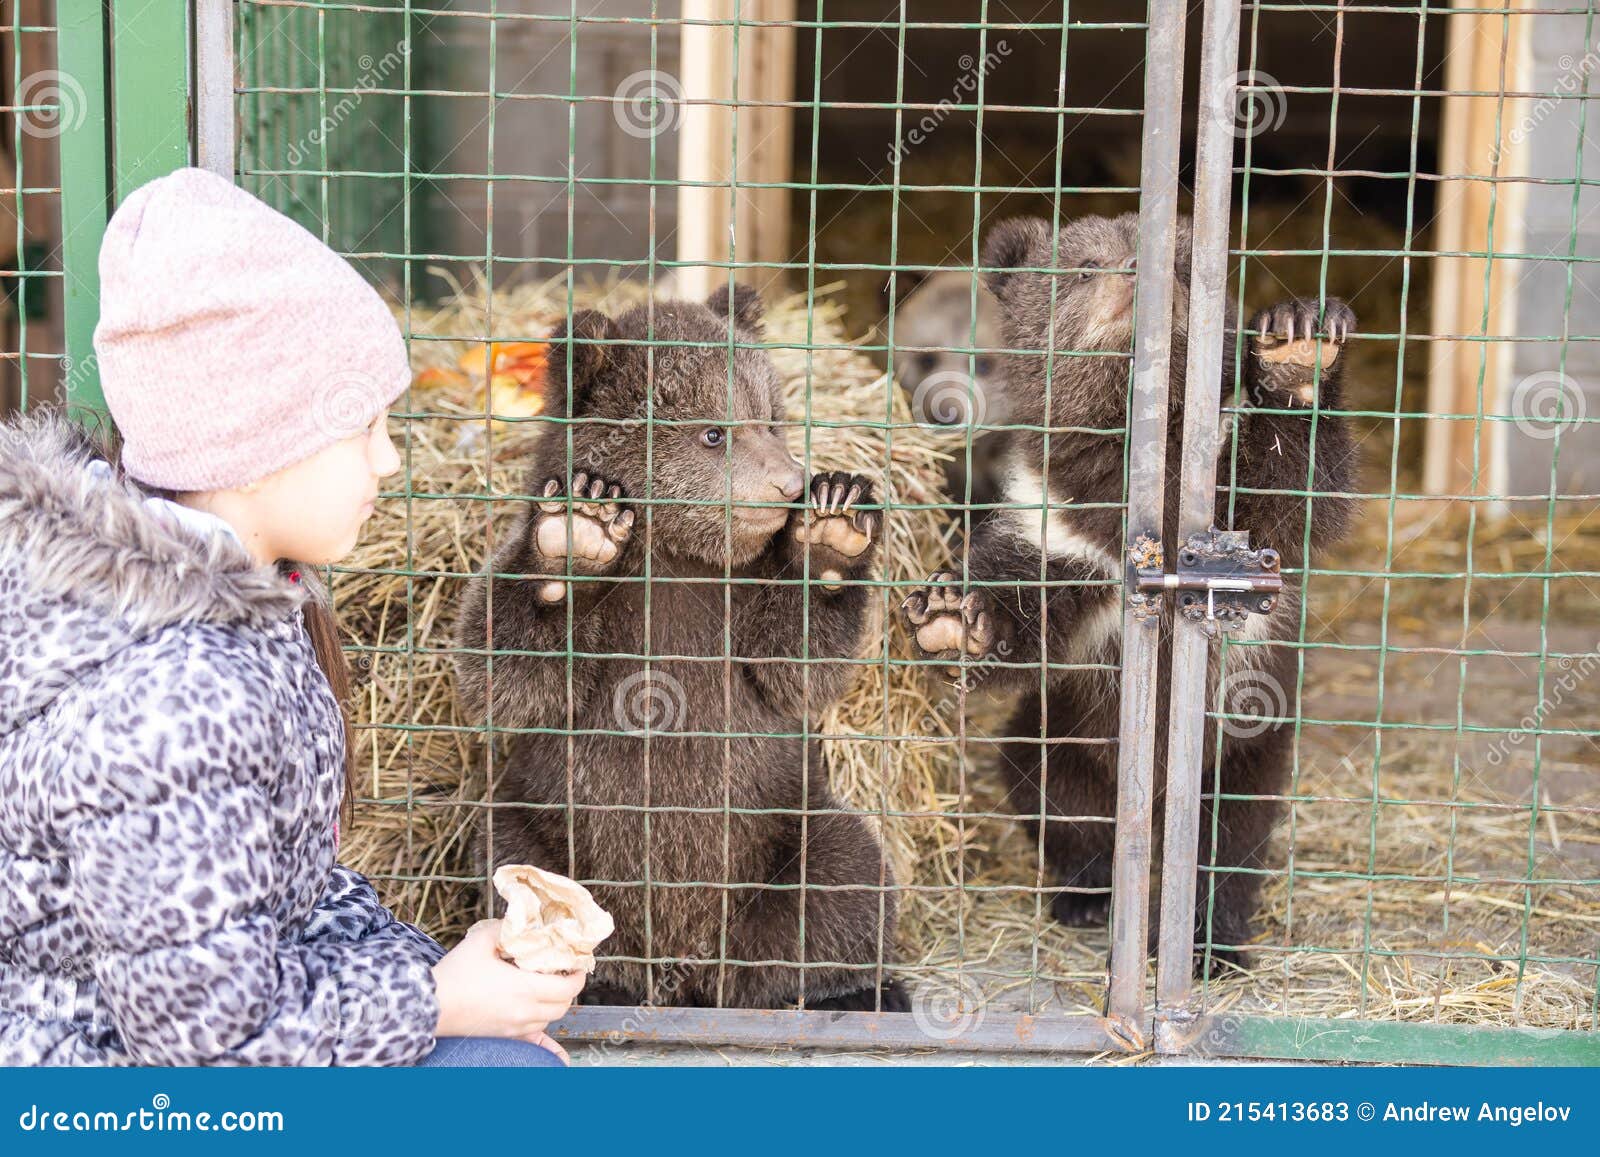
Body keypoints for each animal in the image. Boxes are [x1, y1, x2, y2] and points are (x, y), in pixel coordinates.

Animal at [454, 285, 908, 1011]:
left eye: (771, 417)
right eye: (713, 431)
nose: (788, 484)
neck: (673, 557)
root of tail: (680, 963)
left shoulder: (739, 608)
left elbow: (797, 667)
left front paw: (831, 530)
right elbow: (506, 674)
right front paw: (573, 540)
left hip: (786, 833)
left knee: (844, 877)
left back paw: (842, 989)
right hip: (547, 824)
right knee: (510, 858)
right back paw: (599, 985)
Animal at [901, 212, 1360, 972]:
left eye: (1180, 263)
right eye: (1084, 266)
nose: (1133, 275)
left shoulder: (1234, 523)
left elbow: (1296, 490)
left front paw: (1296, 345)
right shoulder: (1063, 532)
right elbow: (1023, 610)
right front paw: (951, 615)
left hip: (1241, 753)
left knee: (1228, 841)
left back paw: (1206, 940)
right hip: (1066, 738)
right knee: (1060, 800)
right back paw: (1088, 895)